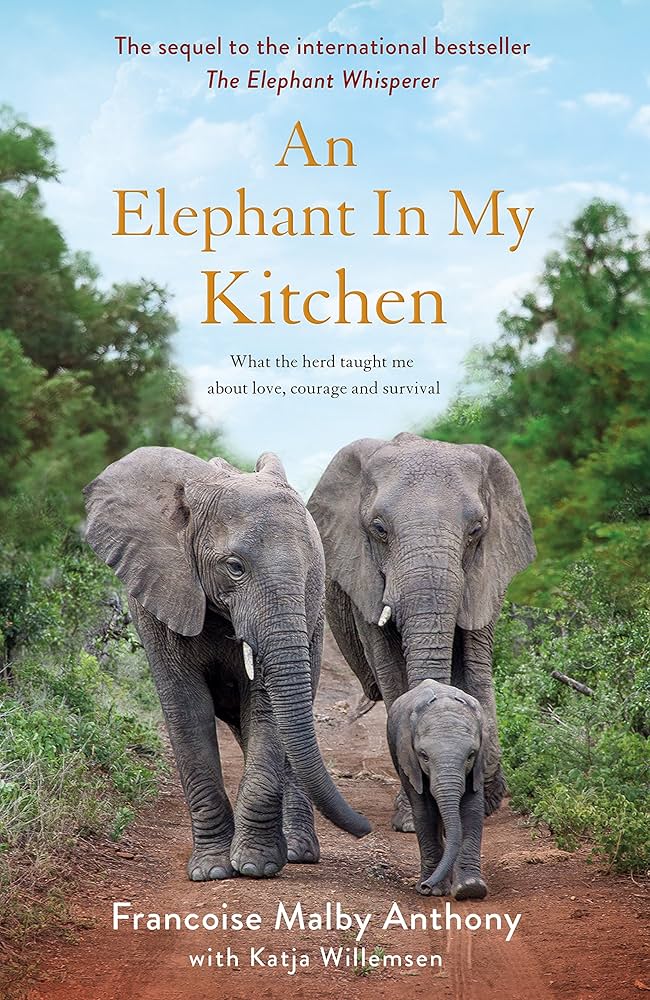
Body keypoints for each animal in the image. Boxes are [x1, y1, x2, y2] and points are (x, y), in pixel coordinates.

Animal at [83, 446, 370, 882]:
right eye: (235, 567)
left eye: (310, 574)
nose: (366, 828)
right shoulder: (157, 593)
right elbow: (187, 711)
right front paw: (211, 871)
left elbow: (266, 708)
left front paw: (255, 866)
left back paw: (298, 852)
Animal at [308, 432, 535, 829]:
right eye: (379, 529)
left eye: (476, 530)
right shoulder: (365, 581)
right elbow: (392, 674)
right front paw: (412, 819)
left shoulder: (486, 573)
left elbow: (476, 669)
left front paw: (485, 801)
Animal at [387, 679, 487, 899]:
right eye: (424, 756)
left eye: (471, 755)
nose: (425, 886)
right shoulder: (409, 759)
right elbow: (425, 811)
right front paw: (434, 891)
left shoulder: (477, 766)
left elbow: (472, 810)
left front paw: (470, 889)